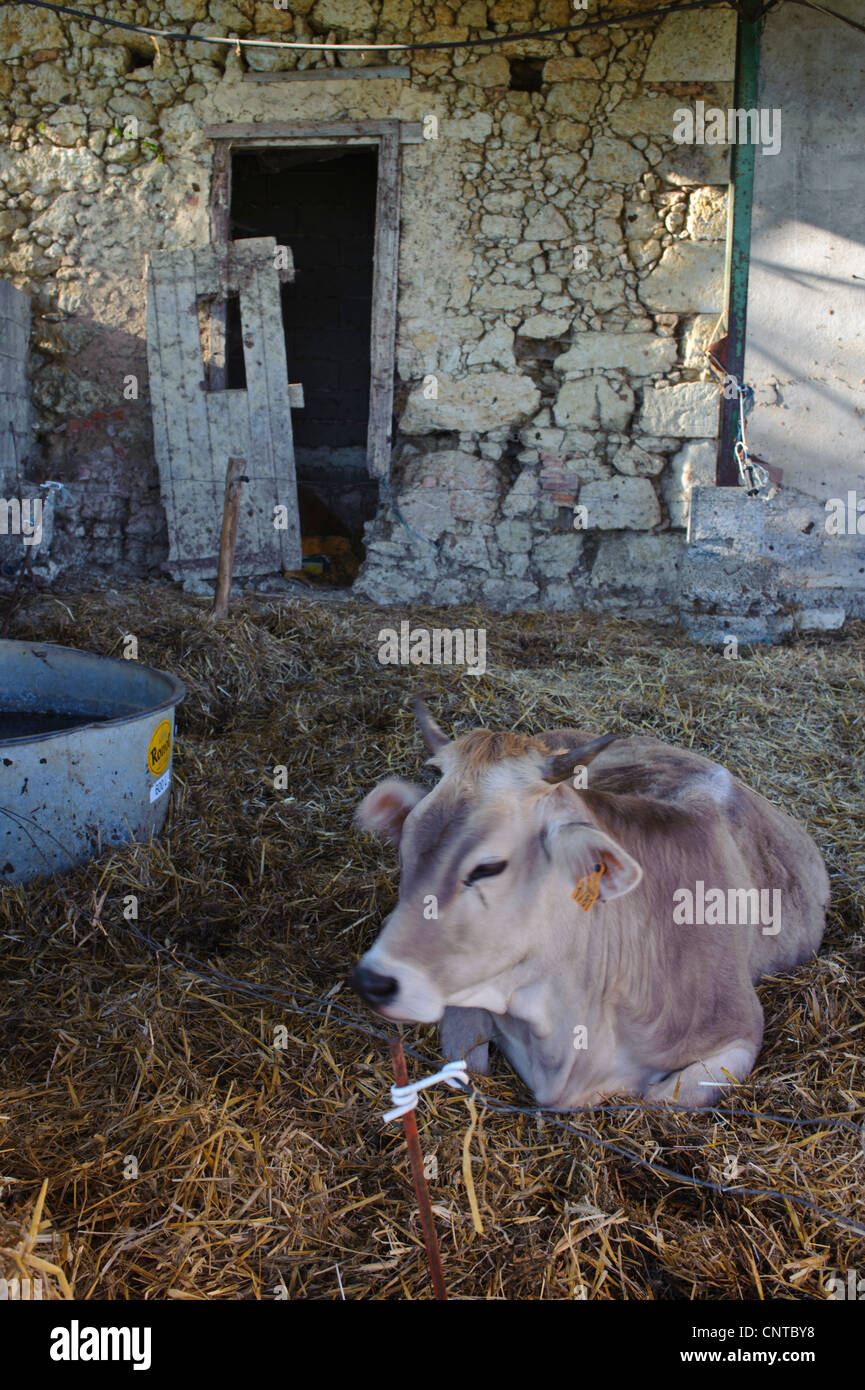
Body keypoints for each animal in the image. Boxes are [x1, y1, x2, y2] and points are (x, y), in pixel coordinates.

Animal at [351, 698, 829, 1109]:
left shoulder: (741, 1031)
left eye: (489, 867)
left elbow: (662, 1098)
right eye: (406, 846)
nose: (373, 981)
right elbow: (469, 1064)